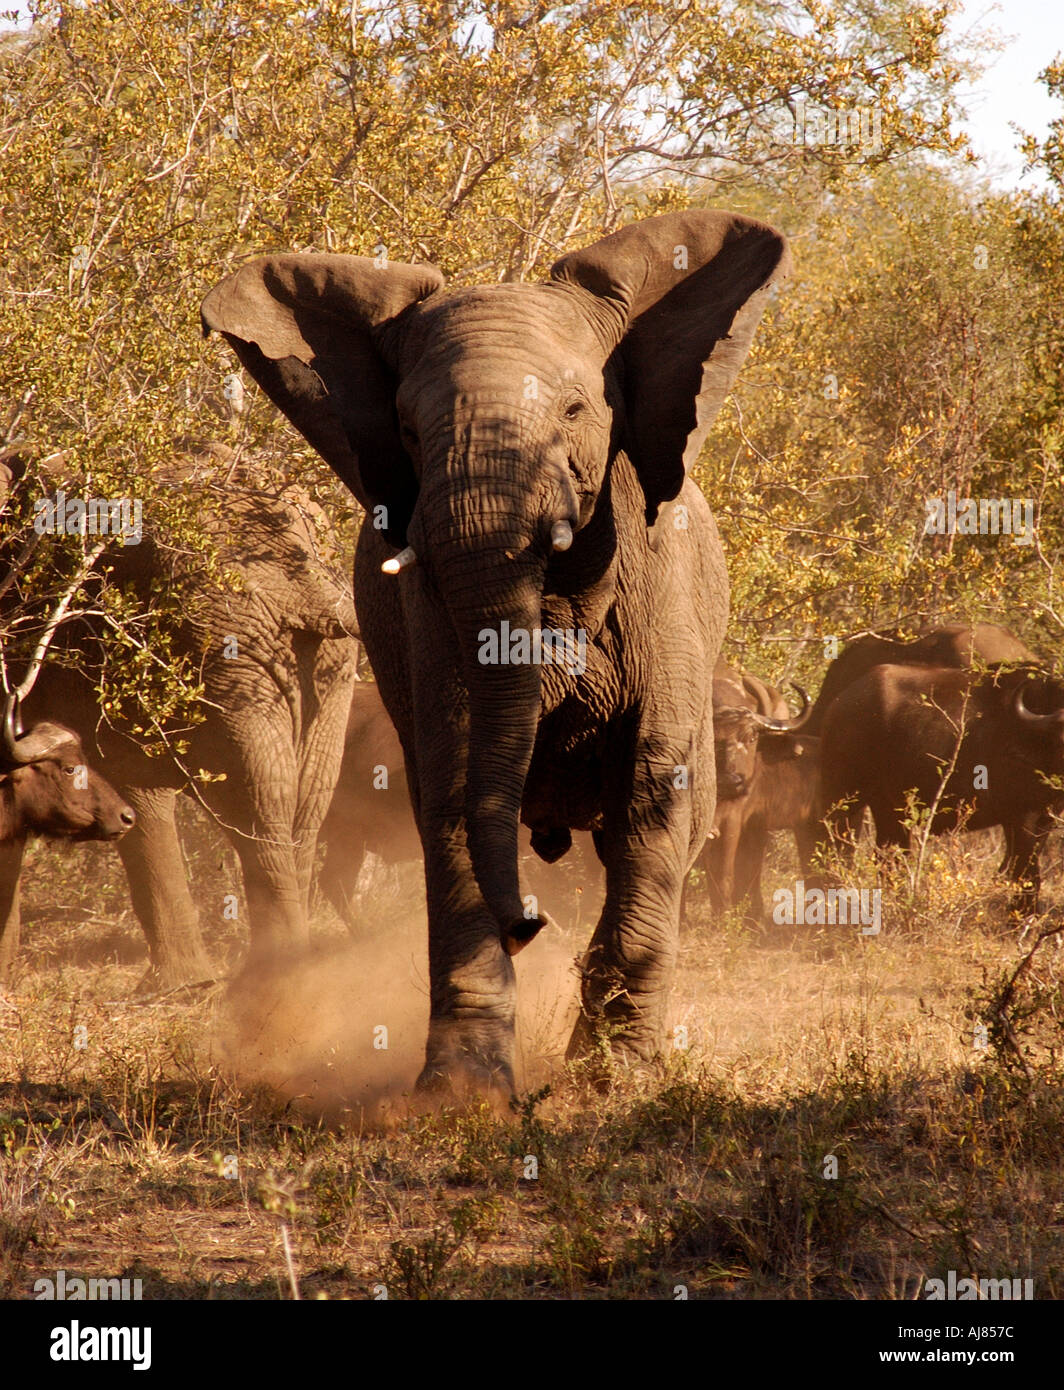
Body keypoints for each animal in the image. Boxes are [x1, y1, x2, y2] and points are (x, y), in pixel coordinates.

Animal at [202, 207, 791, 1094]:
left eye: (577, 410)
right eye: (409, 430)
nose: (527, 924)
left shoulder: (666, 591)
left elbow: (653, 789)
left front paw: (610, 1085)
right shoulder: (426, 613)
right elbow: (453, 784)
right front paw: (462, 1094)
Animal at [818, 663, 1064, 913]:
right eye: (1061, 740)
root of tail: (838, 705)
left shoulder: (1046, 819)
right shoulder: (1022, 817)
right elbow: (1025, 873)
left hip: (888, 809)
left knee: (889, 856)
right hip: (841, 797)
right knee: (834, 847)